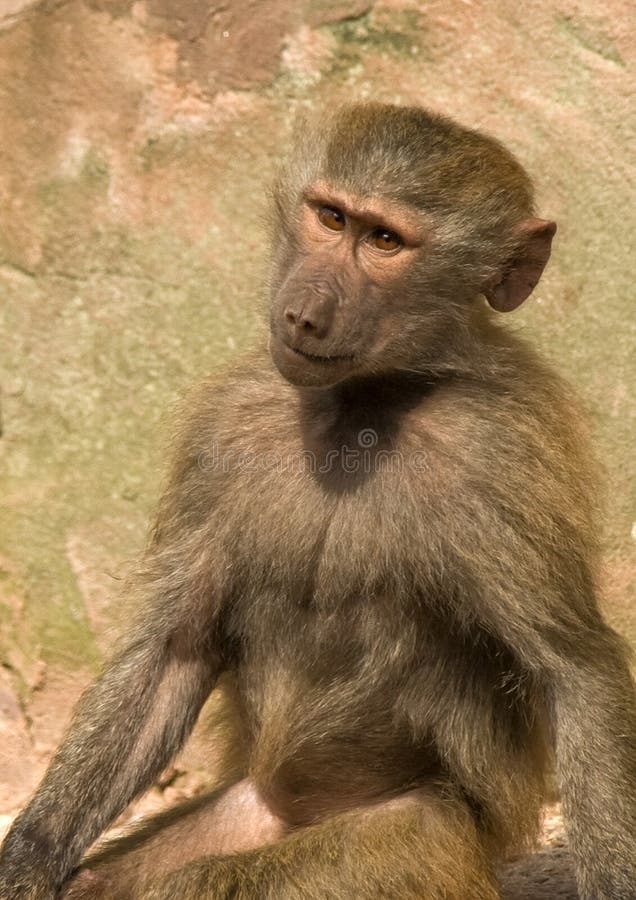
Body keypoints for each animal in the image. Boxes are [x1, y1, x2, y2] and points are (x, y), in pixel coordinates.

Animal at [0, 102, 635, 900]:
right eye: (331, 218)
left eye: (385, 241)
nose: (303, 314)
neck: (364, 403)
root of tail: (284, 815)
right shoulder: (226, 426)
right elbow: (174, 651)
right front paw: (28, 861)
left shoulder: (506, 450)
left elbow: (572, 668)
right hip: (245, 810)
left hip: (416, 846)